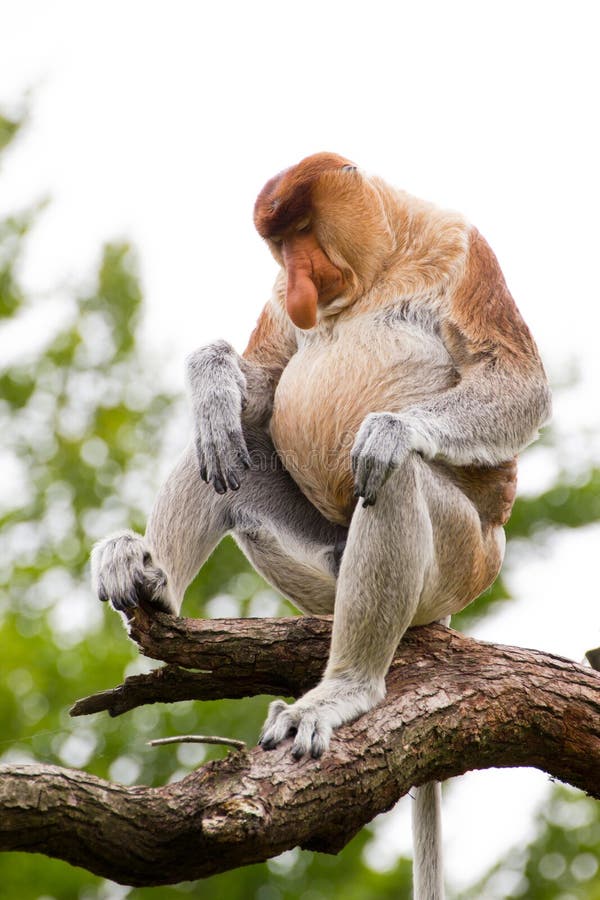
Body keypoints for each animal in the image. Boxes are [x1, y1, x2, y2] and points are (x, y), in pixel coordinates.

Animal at [91, 153, 551, 899]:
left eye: (303, 231)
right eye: (279, 247)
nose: (300, 281)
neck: (382, 260)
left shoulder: (461, 246)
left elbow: (514, 382)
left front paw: (391, 429)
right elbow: (260, 385)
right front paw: (212, 375)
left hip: (460, 561)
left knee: (394, 479)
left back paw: (342, 693)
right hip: (322, 566)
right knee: (227, 445)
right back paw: (147, 576)